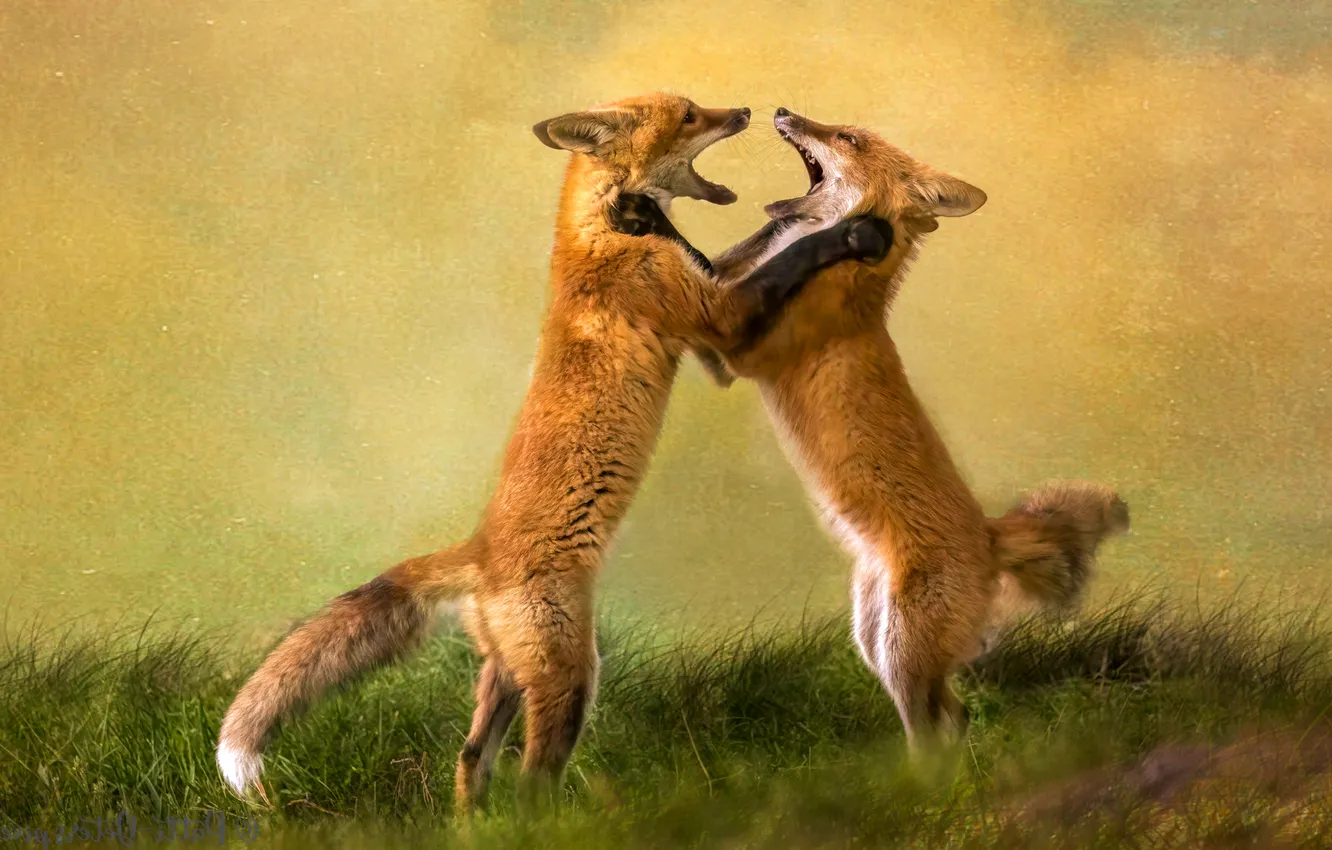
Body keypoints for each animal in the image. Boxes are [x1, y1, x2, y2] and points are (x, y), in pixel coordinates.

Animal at [214, 92, 894, 811]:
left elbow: (744, 248)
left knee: (470, 758)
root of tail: (480, 554)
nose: (742, 109)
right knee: (531, 777)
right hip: (569, 674)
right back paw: (554, 823)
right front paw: (854, 233)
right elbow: (790, 257)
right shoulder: (722, 324)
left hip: (507, 672)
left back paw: (474, 824)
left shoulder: (709, 332)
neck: (600, 235)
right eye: (688, 115)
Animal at [609, 108, 1129, 749]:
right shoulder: (727, 324)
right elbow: (716, 258)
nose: (781, 110)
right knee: (955, 718)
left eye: (847, 140)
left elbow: (705, 260)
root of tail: (989, 536)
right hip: (875, 640)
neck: (837, 277)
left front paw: (649, 216)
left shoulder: (736, 353)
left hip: (902, 654)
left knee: (934, 732)